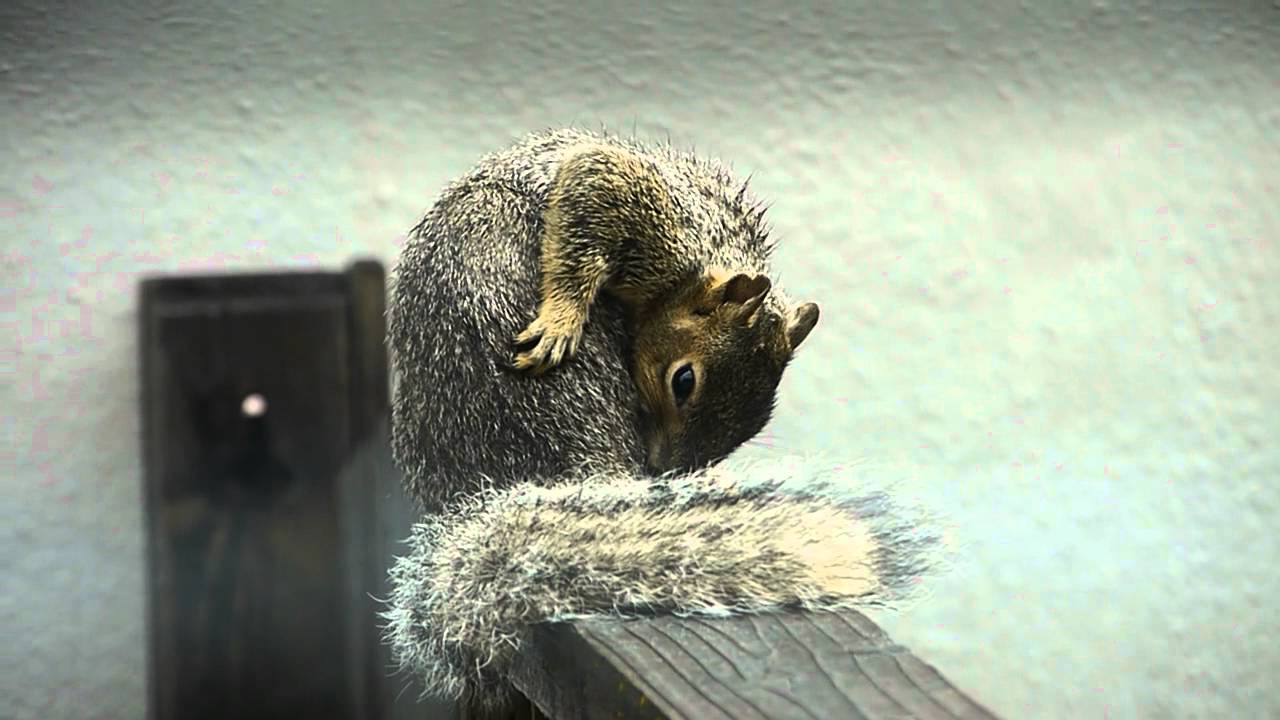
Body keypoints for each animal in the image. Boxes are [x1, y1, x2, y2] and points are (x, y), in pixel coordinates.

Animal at [508, 139, 820, 475]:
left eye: (756, 425)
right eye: (683, 381)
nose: (664, 470)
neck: (683, 286)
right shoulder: (648, 224)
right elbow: (589, 192)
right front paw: (560, 322)